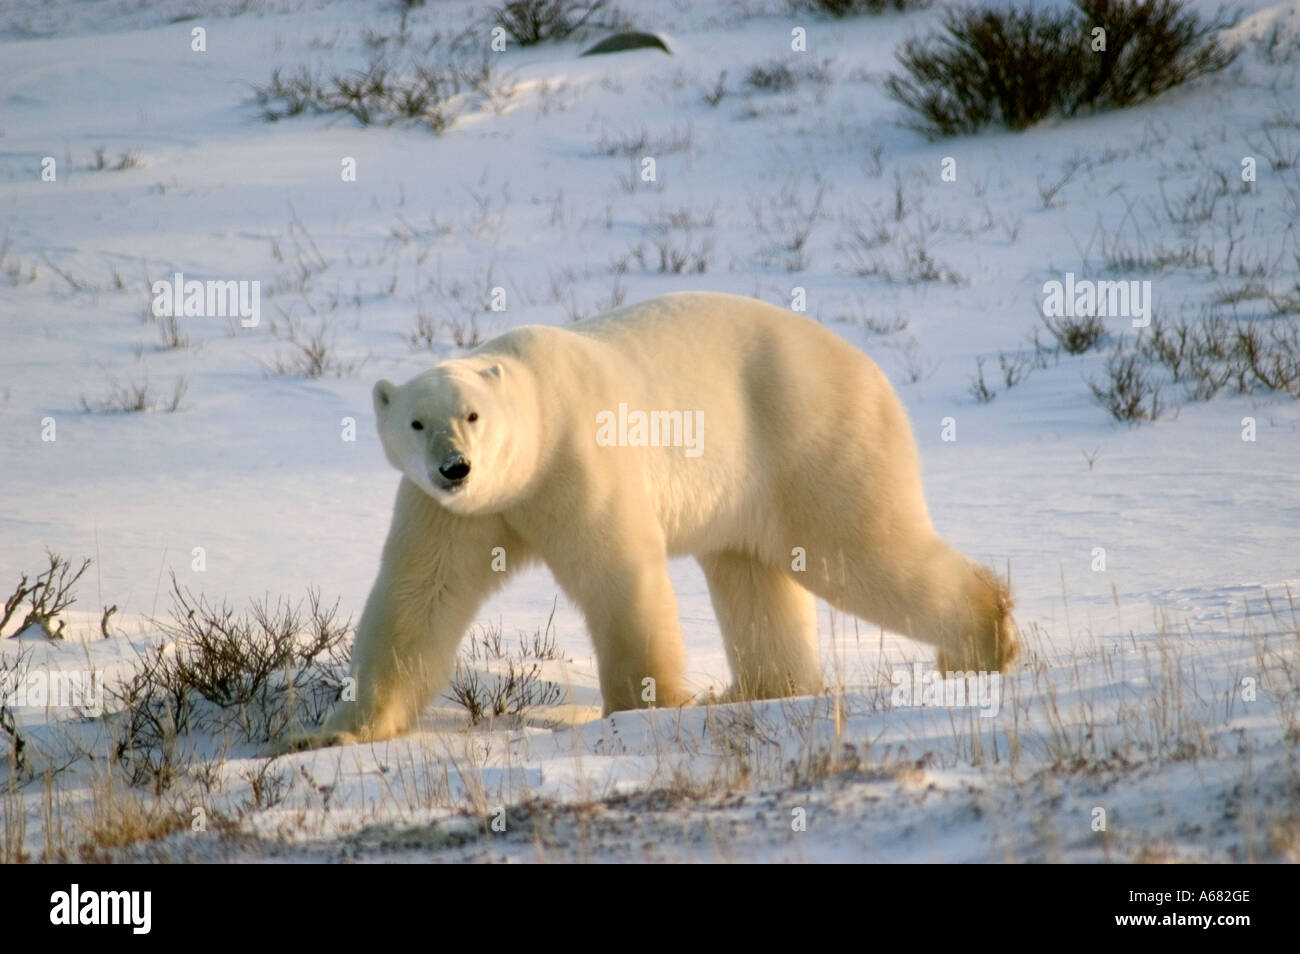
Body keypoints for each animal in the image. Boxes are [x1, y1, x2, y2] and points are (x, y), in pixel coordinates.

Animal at [282, 291, 1018, 749]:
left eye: (472, 415)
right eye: (416, 422)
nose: (454, 467)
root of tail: (870, 369)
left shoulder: (577, 458)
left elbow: (619, 574)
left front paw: (645, 709)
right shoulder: (451, 513)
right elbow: (418, 597)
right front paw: (331, 731)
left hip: (810, 436)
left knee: (858, 550)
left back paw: (984, 642)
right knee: (752, 576)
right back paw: (756, 691)